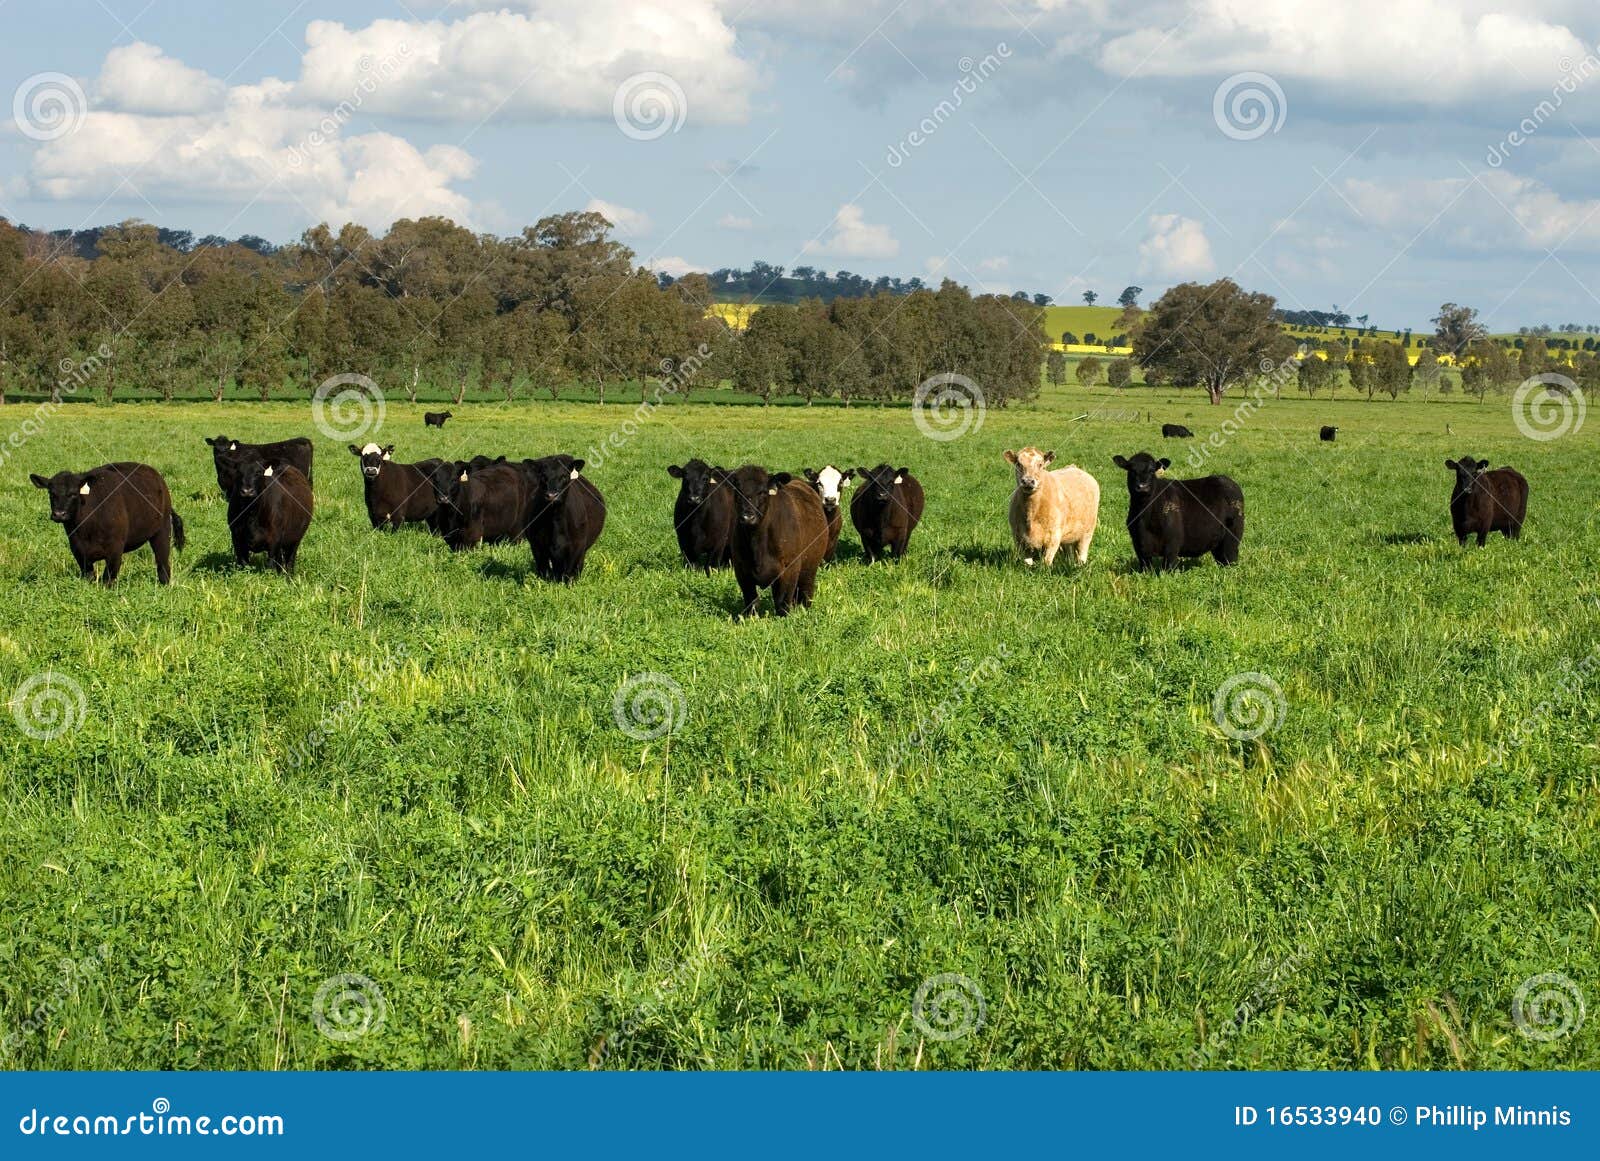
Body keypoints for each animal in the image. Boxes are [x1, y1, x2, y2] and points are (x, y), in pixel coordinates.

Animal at [30, 463, 184, 585]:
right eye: (51, 494)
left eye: (73, 494)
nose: (59, 514)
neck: (86, 530)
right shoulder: (79, 552)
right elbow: (90, 578)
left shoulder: (115, 550)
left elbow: (107, 580)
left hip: (162, 531)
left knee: (163, 565)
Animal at [712, 464, 828, 617]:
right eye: (737, 490)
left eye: (762, 492)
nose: (747, 517)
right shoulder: (741, 570)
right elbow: (751, 601)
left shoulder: (790, 569)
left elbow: (782, 603)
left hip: (809, 569)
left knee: (805, 593)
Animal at [1111, 451, 1244, 571]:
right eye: (1131, 470)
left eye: (1152, 470)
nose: (1142, 487)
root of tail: (1226, 479)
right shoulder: (1138, 544)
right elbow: (1145, 568)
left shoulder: (1172, 542)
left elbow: (1168, 568)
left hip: (1232, 536)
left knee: (1230, 558)